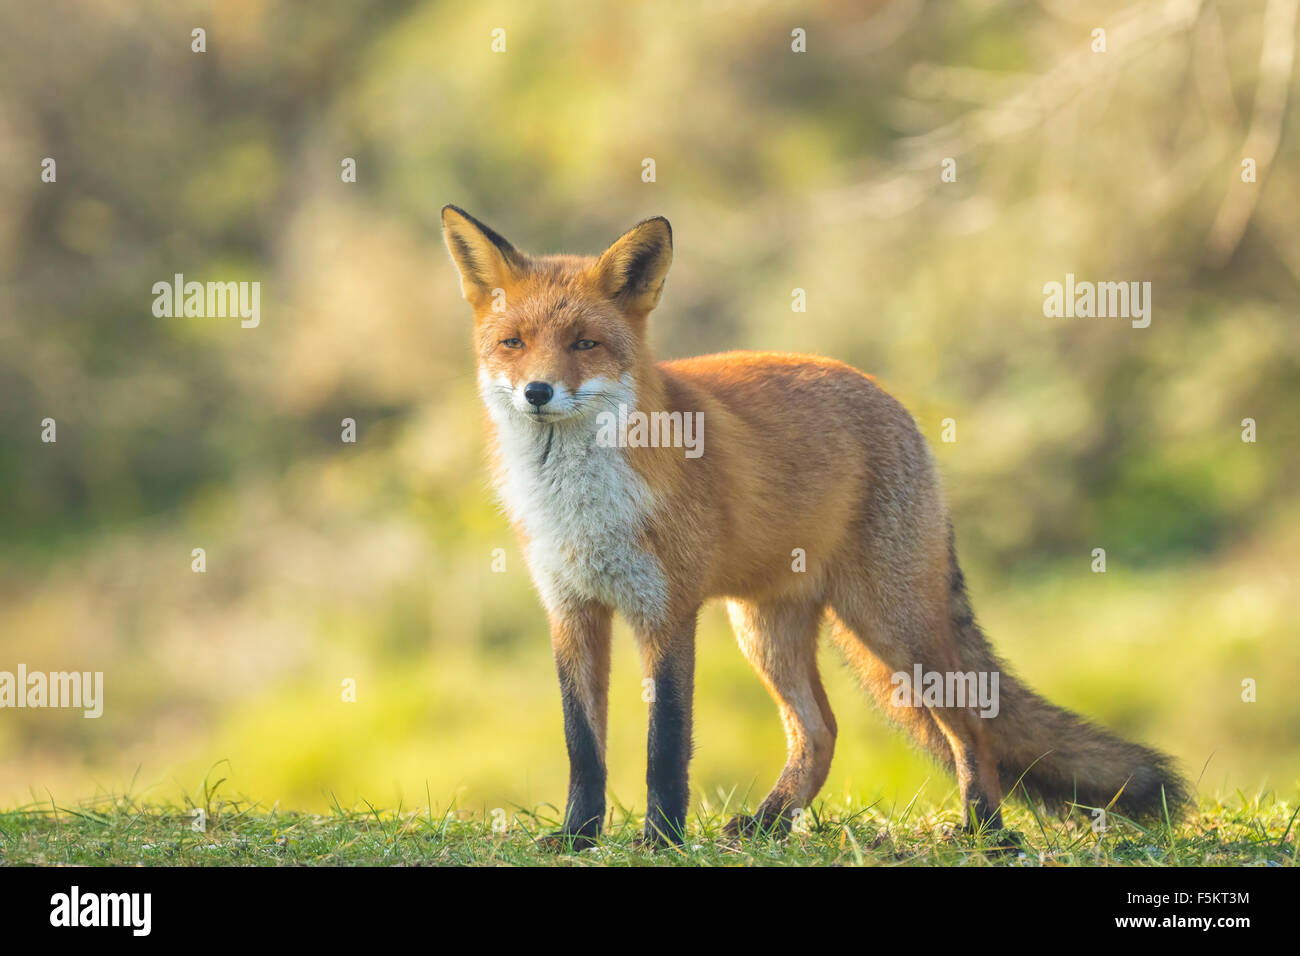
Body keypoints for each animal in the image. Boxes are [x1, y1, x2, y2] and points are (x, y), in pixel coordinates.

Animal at [441, 204, 1189, 848]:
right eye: (513, 343)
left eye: (585, 344)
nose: (538, 392)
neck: (581, 504)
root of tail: (887, 396)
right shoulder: (572, 609)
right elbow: (583, 745)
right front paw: (578, 836)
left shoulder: (667, 612)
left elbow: (666, 744)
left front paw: (662, 839)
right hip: (767, 630)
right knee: (820, 731)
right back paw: (769, 822)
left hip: (893, 625)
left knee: (970, 722)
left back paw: (984, 829)